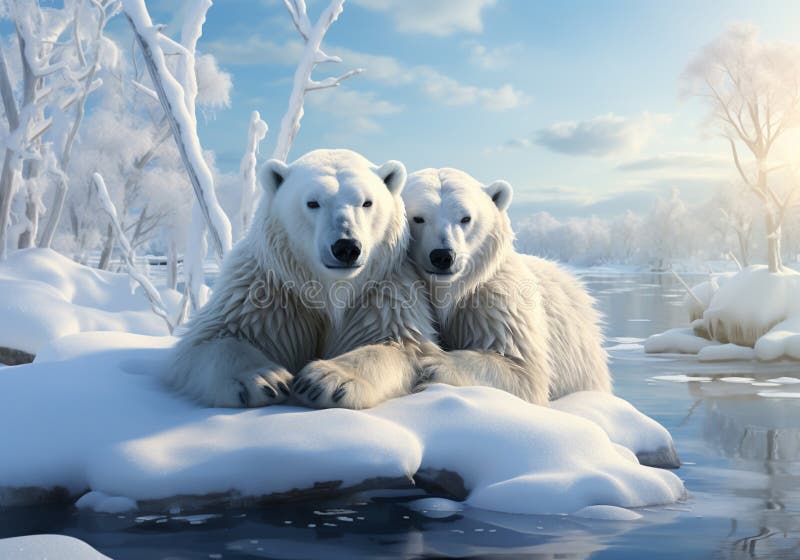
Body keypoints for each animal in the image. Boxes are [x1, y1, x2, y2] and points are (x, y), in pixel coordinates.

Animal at [166, 149, 436, 409]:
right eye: (313, 202)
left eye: (367, 202)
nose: (346, 247)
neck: (328, 286)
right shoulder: (266, 289)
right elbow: (214, 336)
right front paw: (264, 380)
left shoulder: (383, 291)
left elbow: (399, 343)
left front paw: (325, 380)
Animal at [401, 167, 611, 406]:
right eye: (418, 218)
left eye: (465, 218)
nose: (443, 256)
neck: (447, 291)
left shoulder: (496, 306)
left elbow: (523, 373)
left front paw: (433, 363)